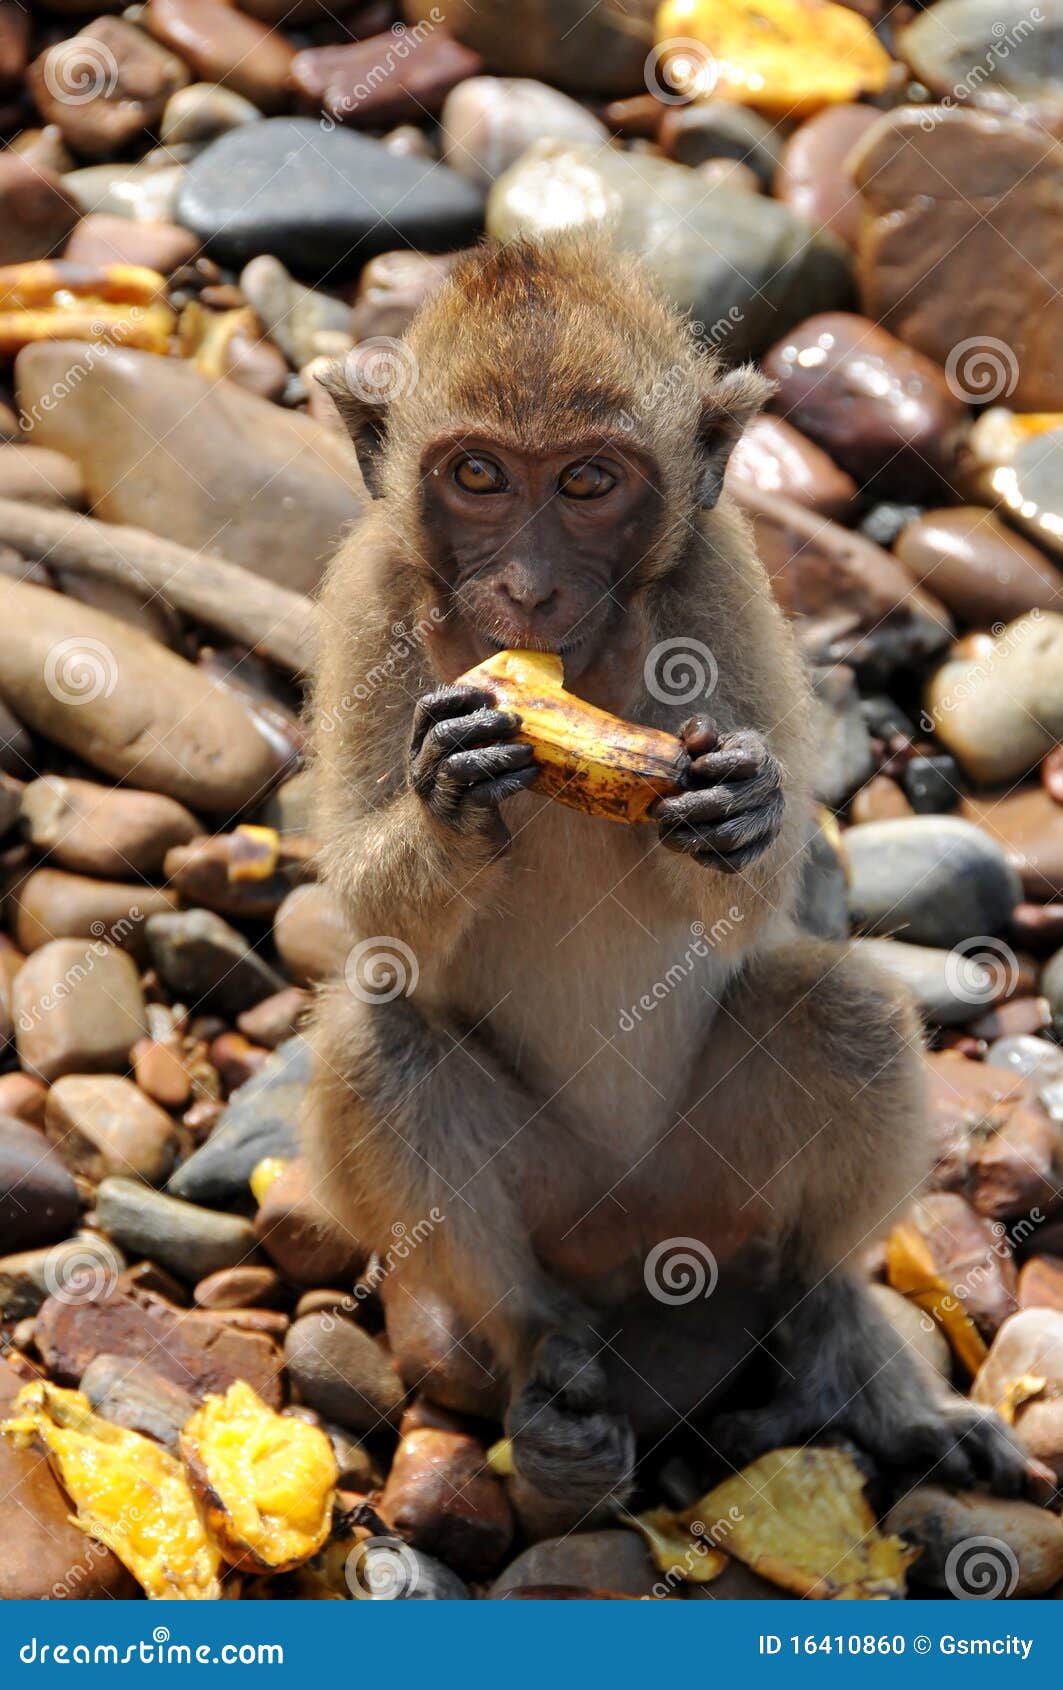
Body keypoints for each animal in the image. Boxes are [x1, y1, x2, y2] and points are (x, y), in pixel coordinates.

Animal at [303, 236, 1025, 1511]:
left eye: (588, 484)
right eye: (479, 475)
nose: (530, 587)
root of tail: (631, 1235)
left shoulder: (717, 576)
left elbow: (765, 891)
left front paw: (742, 806)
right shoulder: (369, 593)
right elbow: (359, 897)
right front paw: (450, 788)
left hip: (711, 1187)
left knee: (842, 1016)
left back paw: (819, 1338)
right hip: (554, 1207)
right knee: (379, 1042)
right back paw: (550, 1375)